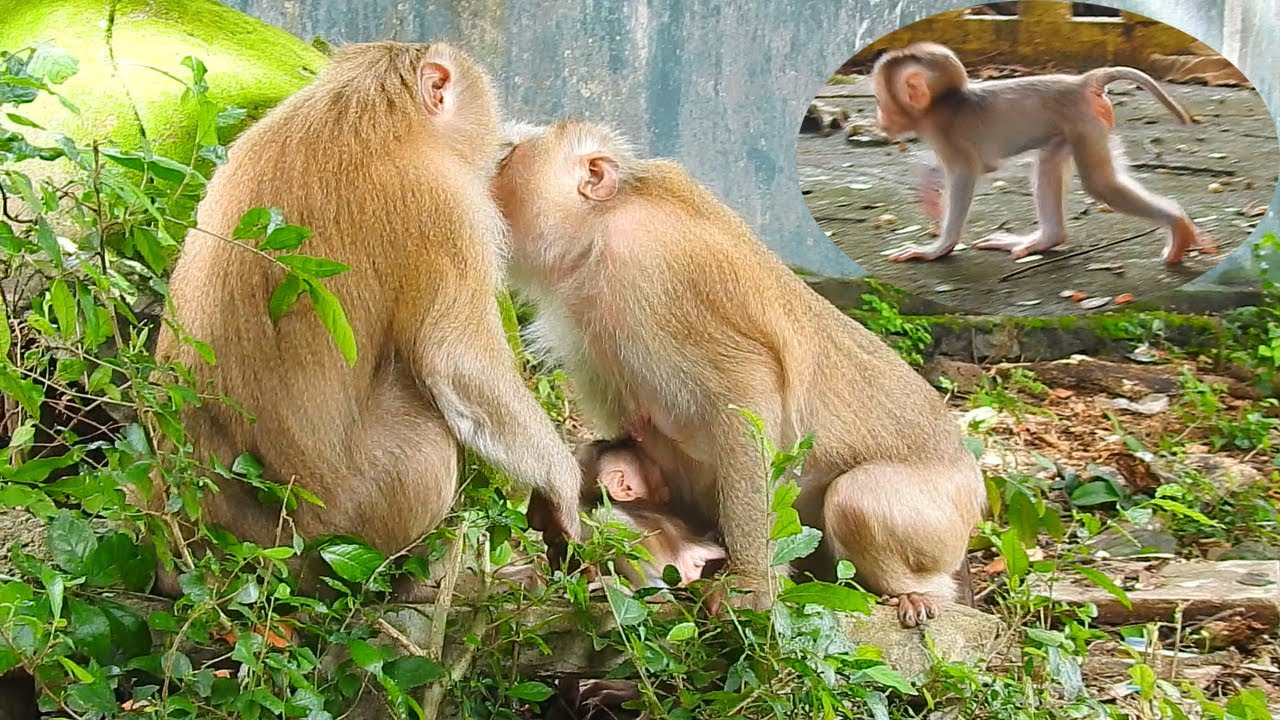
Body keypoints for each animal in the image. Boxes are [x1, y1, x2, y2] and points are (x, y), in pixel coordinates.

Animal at [147, 41, 584, 598]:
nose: (502, 144)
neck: (367, 112)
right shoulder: (449, 212)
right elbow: (461, 368)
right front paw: (563, 485)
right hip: (341, 525)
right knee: (428, 444)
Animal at [494, 121, 987, 626]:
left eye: (508, 155)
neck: (595, 234)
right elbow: (633, 436)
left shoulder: (658, 272)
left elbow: (747, 393)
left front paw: (750, 587)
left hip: (940, 519)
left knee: (858, 498)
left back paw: (918, 593)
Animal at [870, 41, 1216, 265]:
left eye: (879, 98)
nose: (879, 117)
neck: (941, 104)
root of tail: (1082, 81)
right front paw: (928, 185)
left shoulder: (945, 133)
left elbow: (967, 174)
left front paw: (939, 248)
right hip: (1072, 127)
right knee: (1050, 161)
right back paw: (1048, 238)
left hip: (1084, 122)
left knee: (1100, 184)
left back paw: (1179, 227)